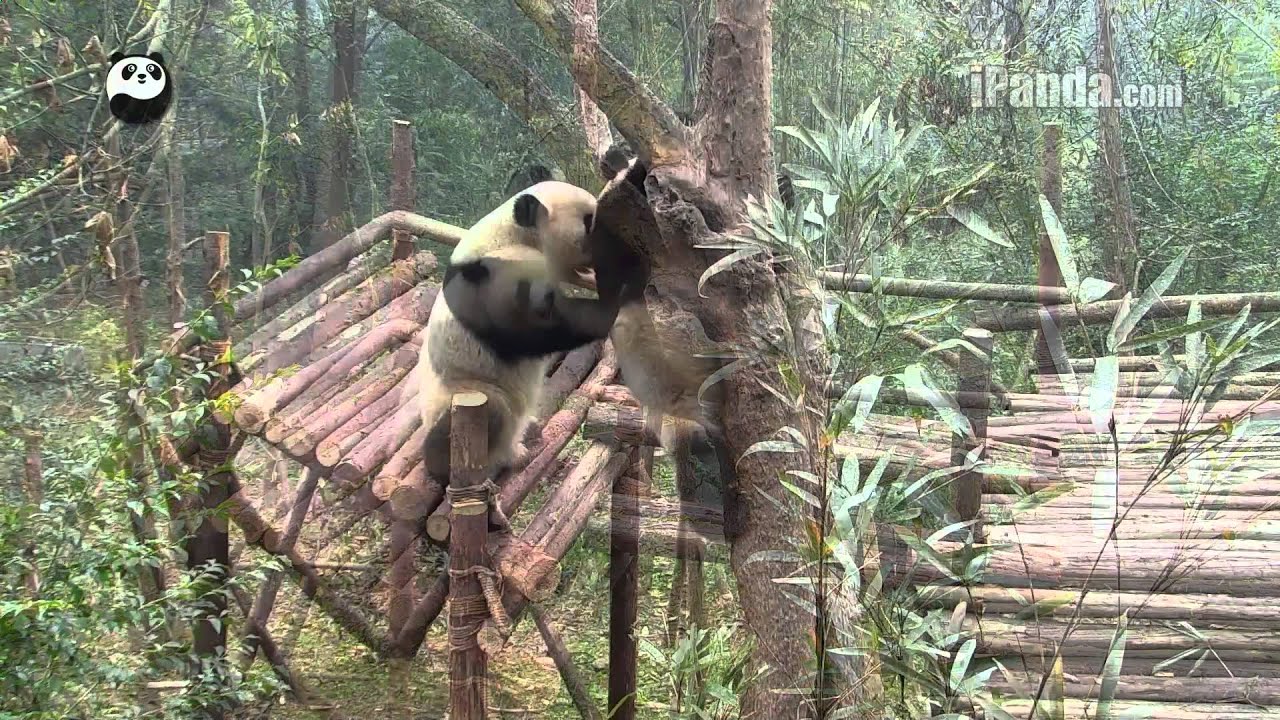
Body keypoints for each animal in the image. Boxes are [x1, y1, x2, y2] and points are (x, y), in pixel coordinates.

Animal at [418, 181, 624, 484]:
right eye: (590, 221)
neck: (516, 234)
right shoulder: (500, 275)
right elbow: (529, 332)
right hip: (466, 391)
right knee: (491, 412)